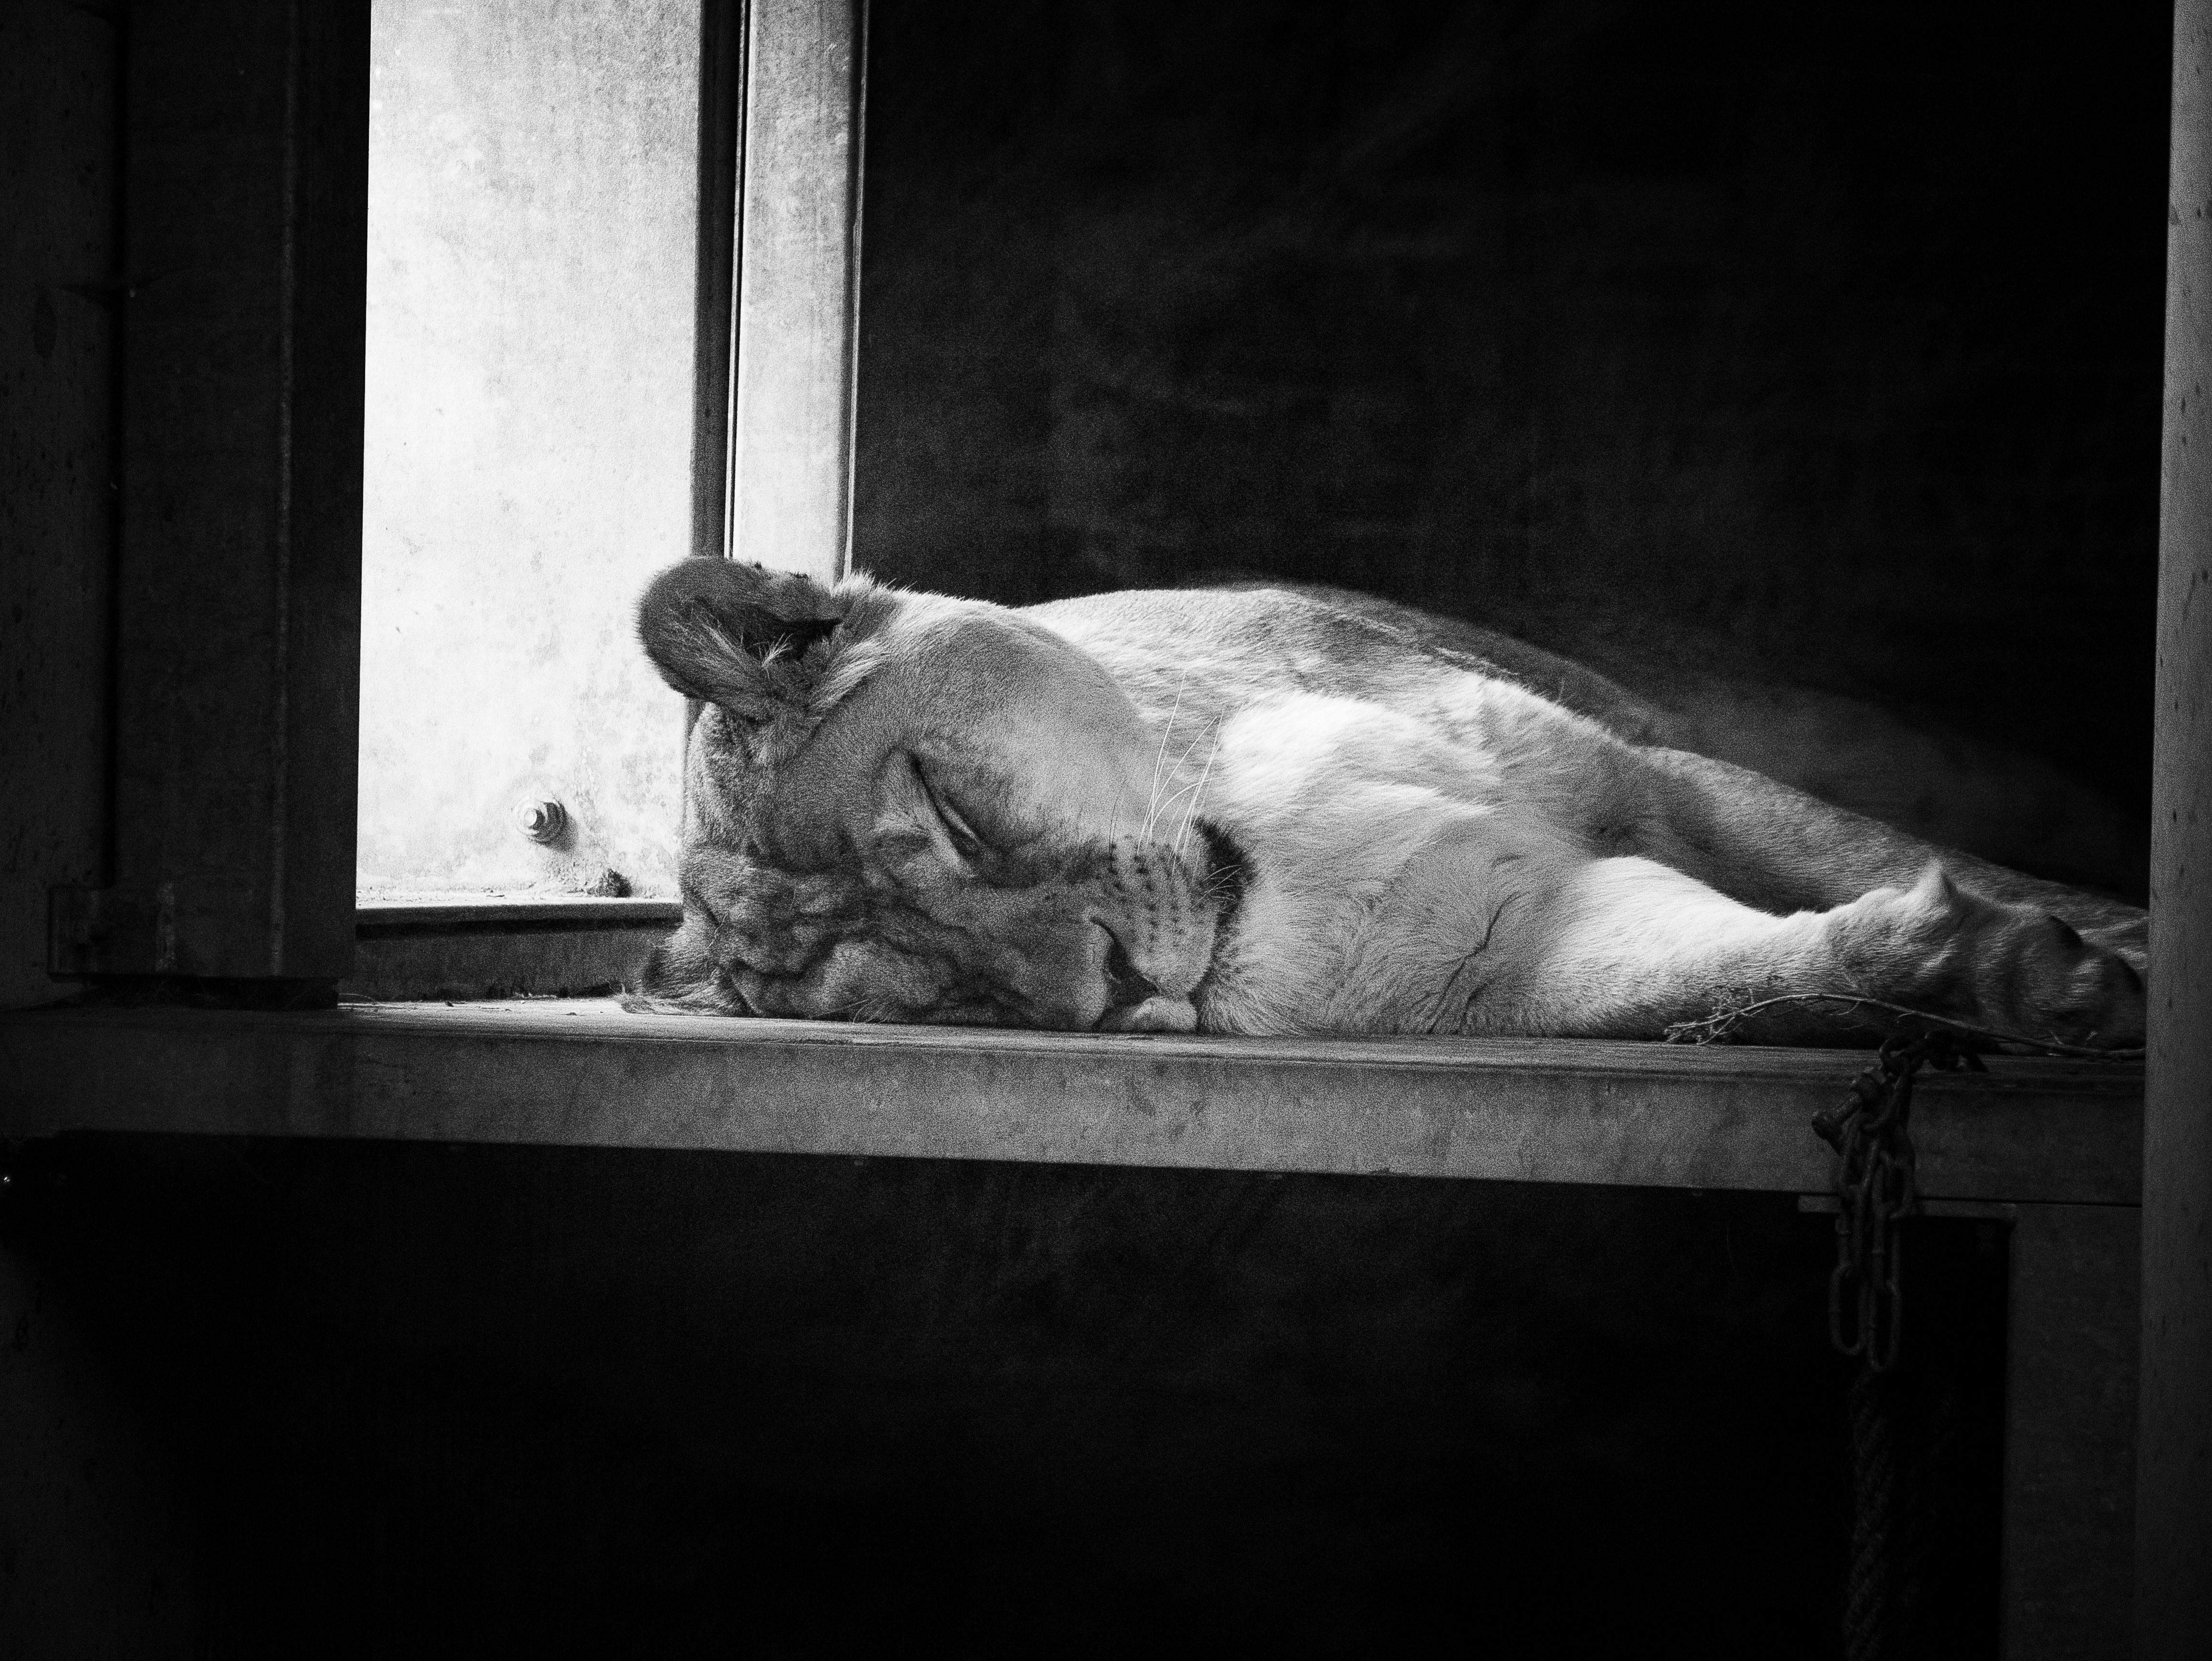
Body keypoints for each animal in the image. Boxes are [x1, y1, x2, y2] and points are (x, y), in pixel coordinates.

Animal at [632, 557, 2146, 1050]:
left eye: (948, 811)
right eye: (946, 993)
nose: (1114, 985)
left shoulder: (1656, 782)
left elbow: (1886, 861)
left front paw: (2111, 952)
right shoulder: (1524, 946)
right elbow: (1760, 981)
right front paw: (2020, 981)